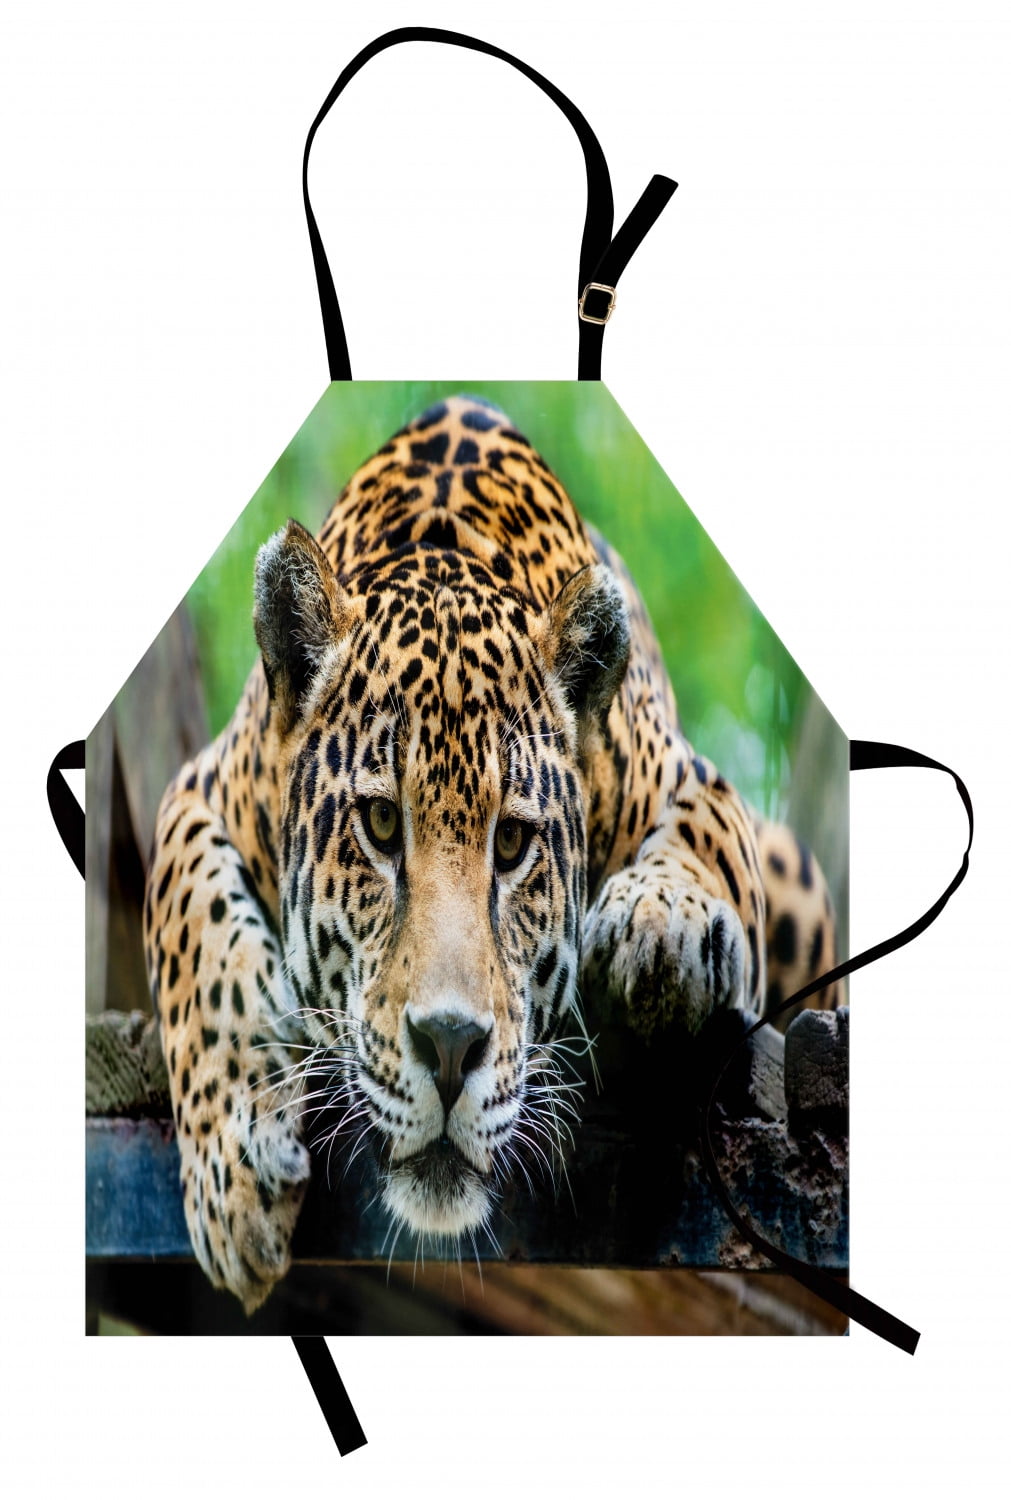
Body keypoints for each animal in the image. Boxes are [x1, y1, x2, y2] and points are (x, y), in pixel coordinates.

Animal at [143, 394, 839, 1313]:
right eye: (379, 825)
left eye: (511, 842)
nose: (449, 1048)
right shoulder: (197, 791)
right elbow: (197, 932)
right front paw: (236, 1163)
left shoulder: (692, 779)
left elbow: (704, 843)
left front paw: (663, 925)